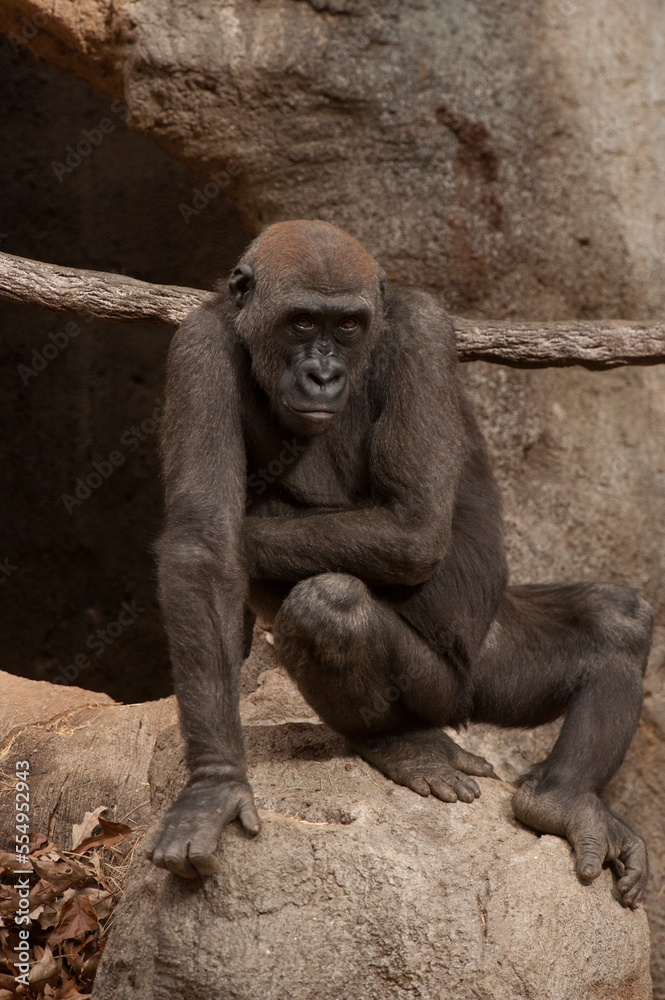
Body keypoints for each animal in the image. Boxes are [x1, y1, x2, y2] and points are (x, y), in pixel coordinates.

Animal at [147, 219, 653, 907]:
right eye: (301, 324)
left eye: (348, 326)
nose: (323, 375)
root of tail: (461, 708)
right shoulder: (196, 351)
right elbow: (204, 544)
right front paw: (216, 784)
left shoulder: (423, 331)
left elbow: (411, 524)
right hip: (442, 692)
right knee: (333, 608)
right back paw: (404, 745)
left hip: (490, 666)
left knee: (615, 622)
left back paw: (563, 798)